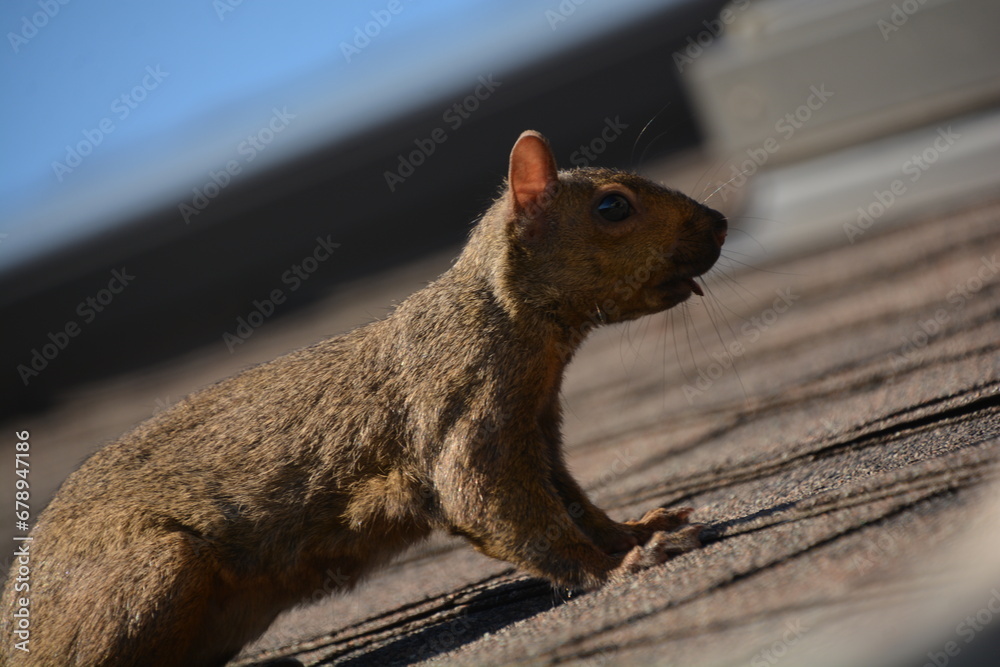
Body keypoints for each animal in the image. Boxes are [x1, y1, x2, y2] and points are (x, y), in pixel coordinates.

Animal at [1, 130, 726, 666]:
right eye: (613, 207)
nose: (719, 223)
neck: (503, 320)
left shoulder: (535, 428)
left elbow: (574, 501)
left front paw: (637, 529)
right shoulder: (463, 411)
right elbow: (494, 503)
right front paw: (619, 566)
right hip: (145, 575)